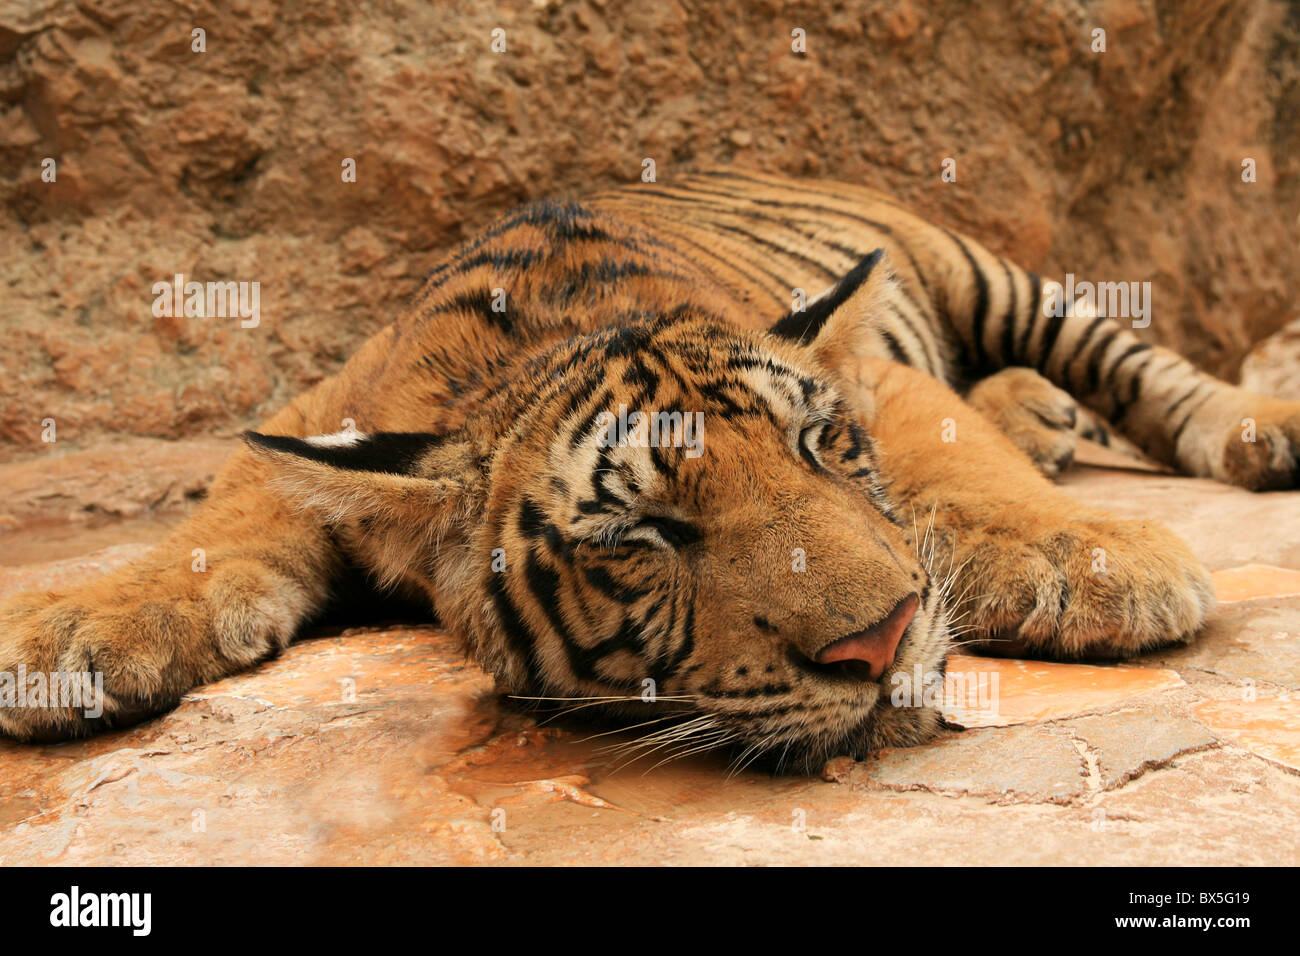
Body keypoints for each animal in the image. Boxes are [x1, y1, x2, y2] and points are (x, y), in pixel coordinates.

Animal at [3, 168, 1297, 773]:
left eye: (821, 447)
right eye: (644, 538)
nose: (883, 644)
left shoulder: (881, 382)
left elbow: (961, 466)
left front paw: (1092, 556)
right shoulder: (312, 413)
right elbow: (206, 531)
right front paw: (70, 628)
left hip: (984, 272)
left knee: (1147, 372)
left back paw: (1253, 426)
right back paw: (1041, 412)